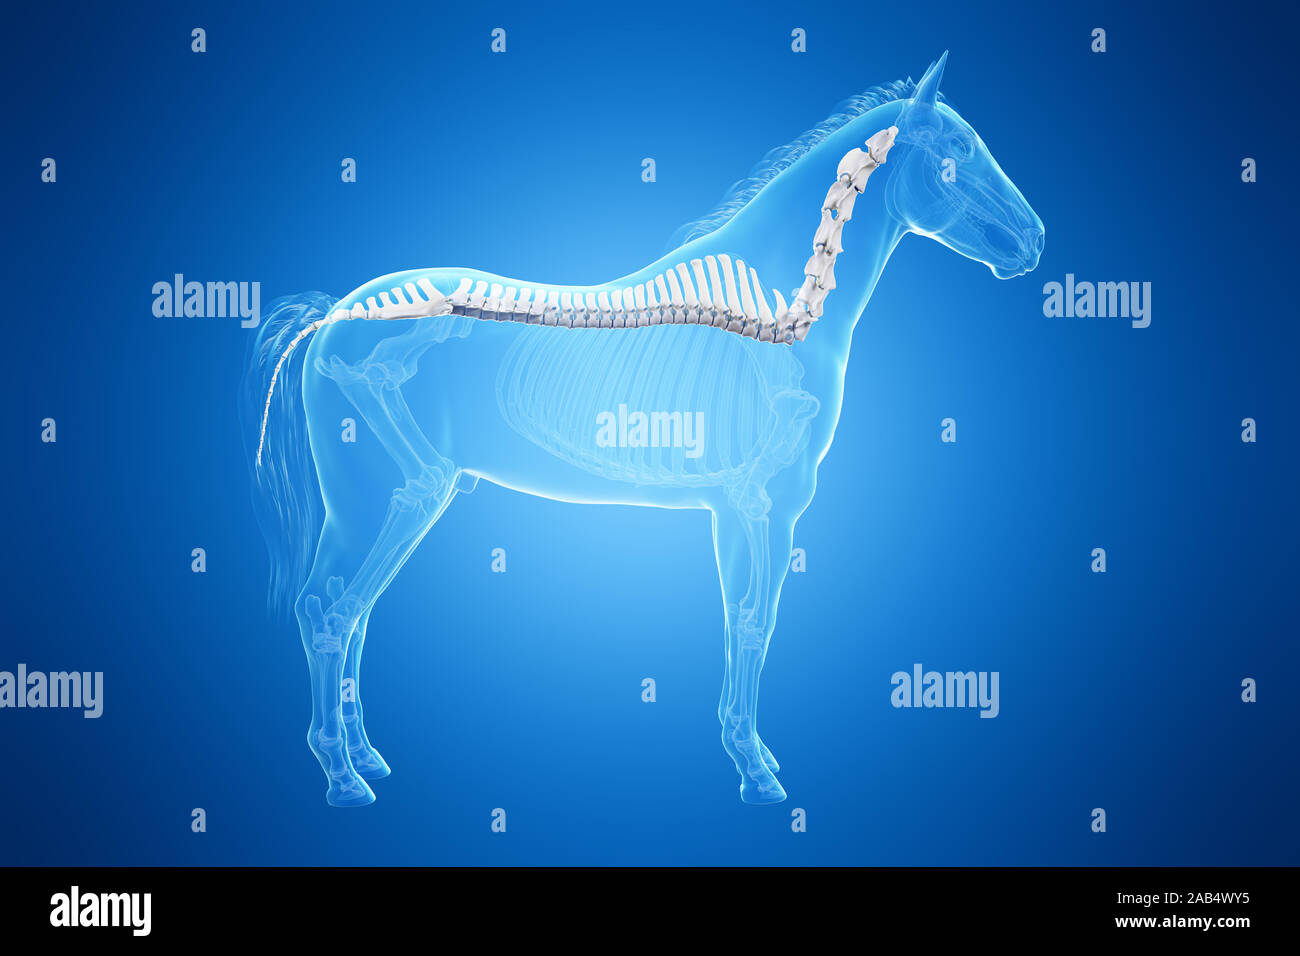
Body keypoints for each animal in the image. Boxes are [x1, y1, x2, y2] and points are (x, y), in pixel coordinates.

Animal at [242, 53, 1044, 807]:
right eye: (958, 149)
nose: (1034, 240)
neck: (779, 322)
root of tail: (331, 319)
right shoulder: (762, 505)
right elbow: (753, 622)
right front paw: (756, 773)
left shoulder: (736, 509)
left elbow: (743, 621)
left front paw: (754, 756)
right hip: (392, 494)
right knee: (328, 608)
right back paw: (344, 779)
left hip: (399, 501)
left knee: (353, 610)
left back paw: (366, 758)